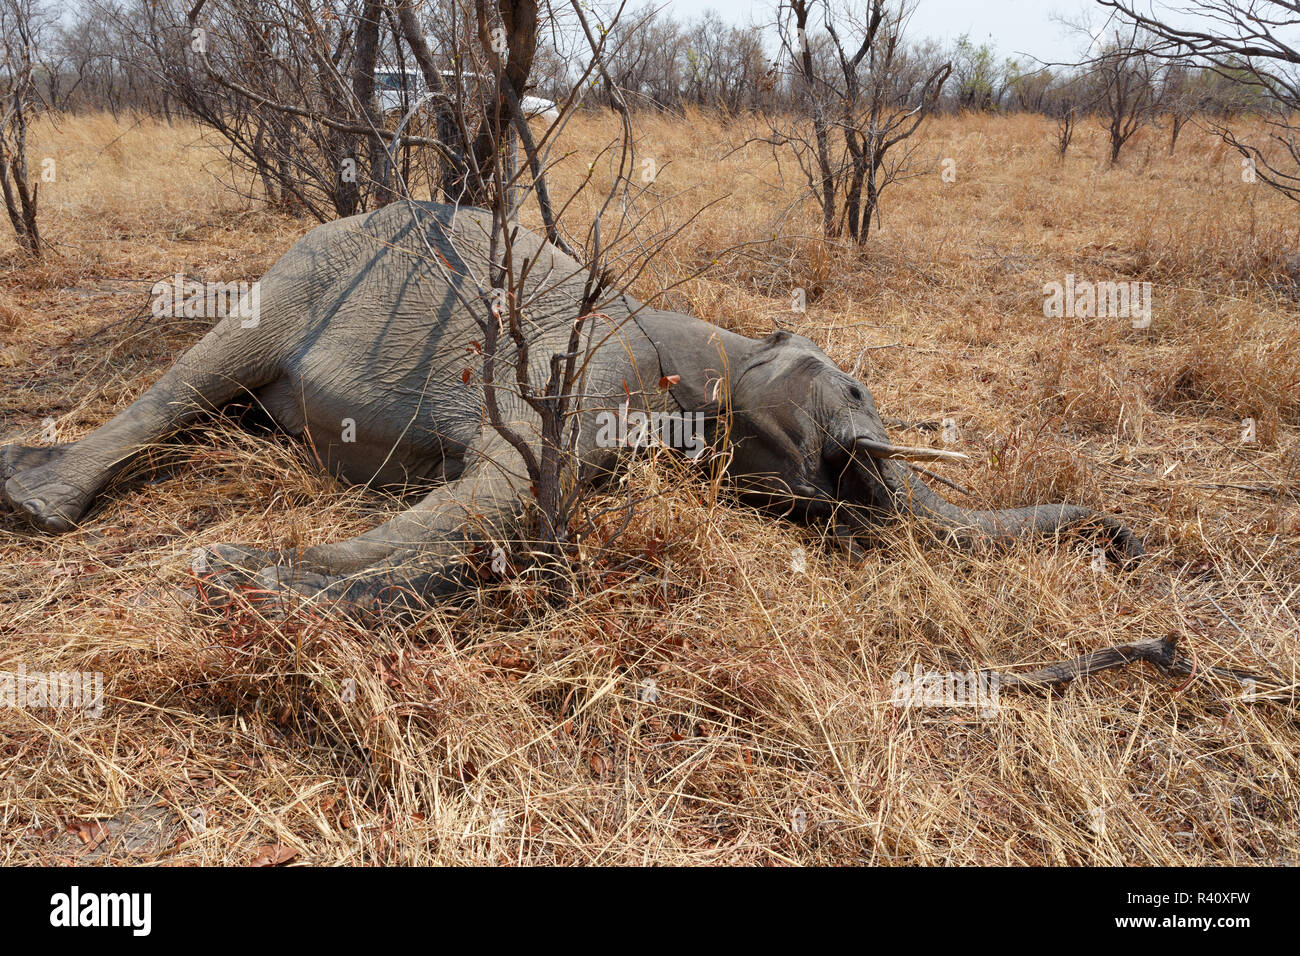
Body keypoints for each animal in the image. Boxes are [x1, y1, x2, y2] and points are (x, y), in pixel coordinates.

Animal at [1, 201, 1143, 614]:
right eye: (856, 387)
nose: (1129, 543)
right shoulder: (576, 369)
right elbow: (499, 497)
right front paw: (241, 575)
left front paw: (254, 579)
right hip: (297, 277)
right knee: (193, 377)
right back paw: (34, 503)